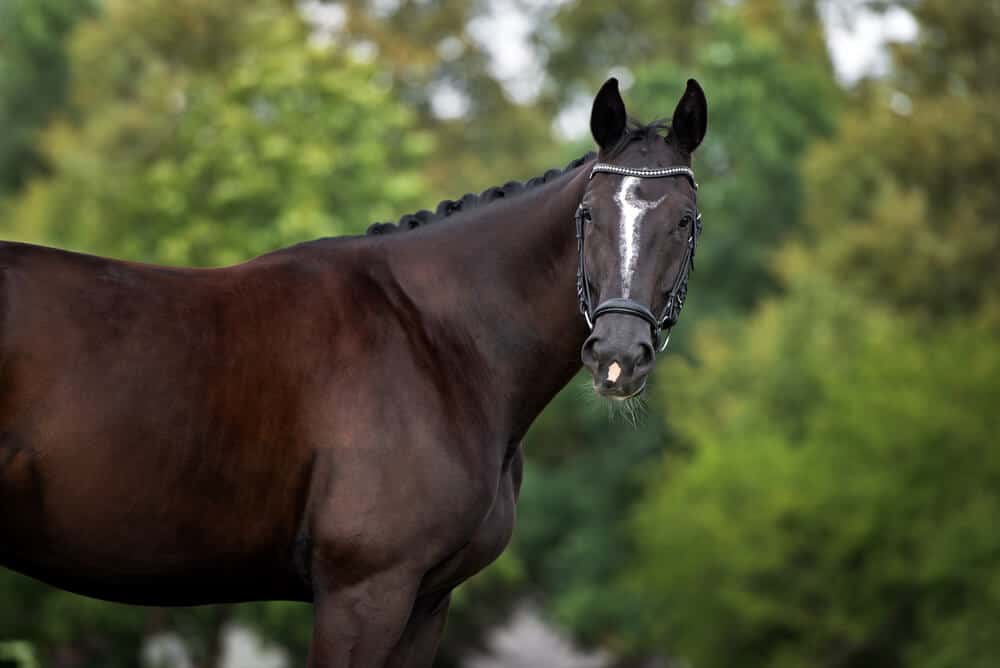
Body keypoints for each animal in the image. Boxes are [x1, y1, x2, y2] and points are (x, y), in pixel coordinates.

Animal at [0, 77, 706, 667]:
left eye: (684, 220)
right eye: (589, 216)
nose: (617, 356)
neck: (436, 339)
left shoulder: (426, 603)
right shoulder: (364, 593)